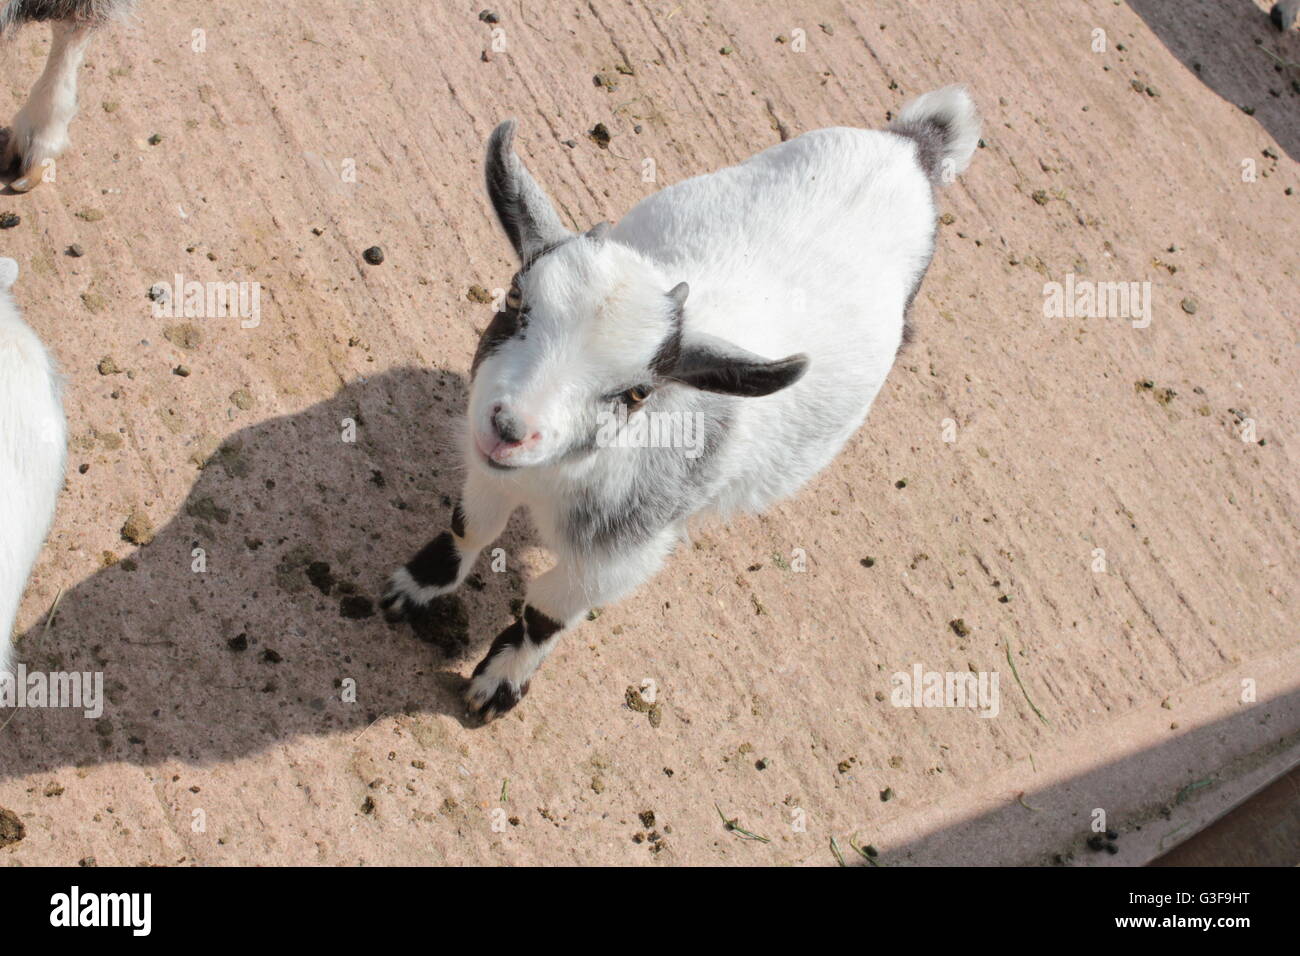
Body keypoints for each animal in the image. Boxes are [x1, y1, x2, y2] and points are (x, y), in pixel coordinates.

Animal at [383, 87, 981, 721]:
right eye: (516, 298)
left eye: (638, 393)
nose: (509, 427)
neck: (554, 479)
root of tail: (912, 146)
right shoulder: (492, 474)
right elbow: (470, 527)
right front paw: (414, 589)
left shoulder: (617, 557)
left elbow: (547, 611)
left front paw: (498, 685)